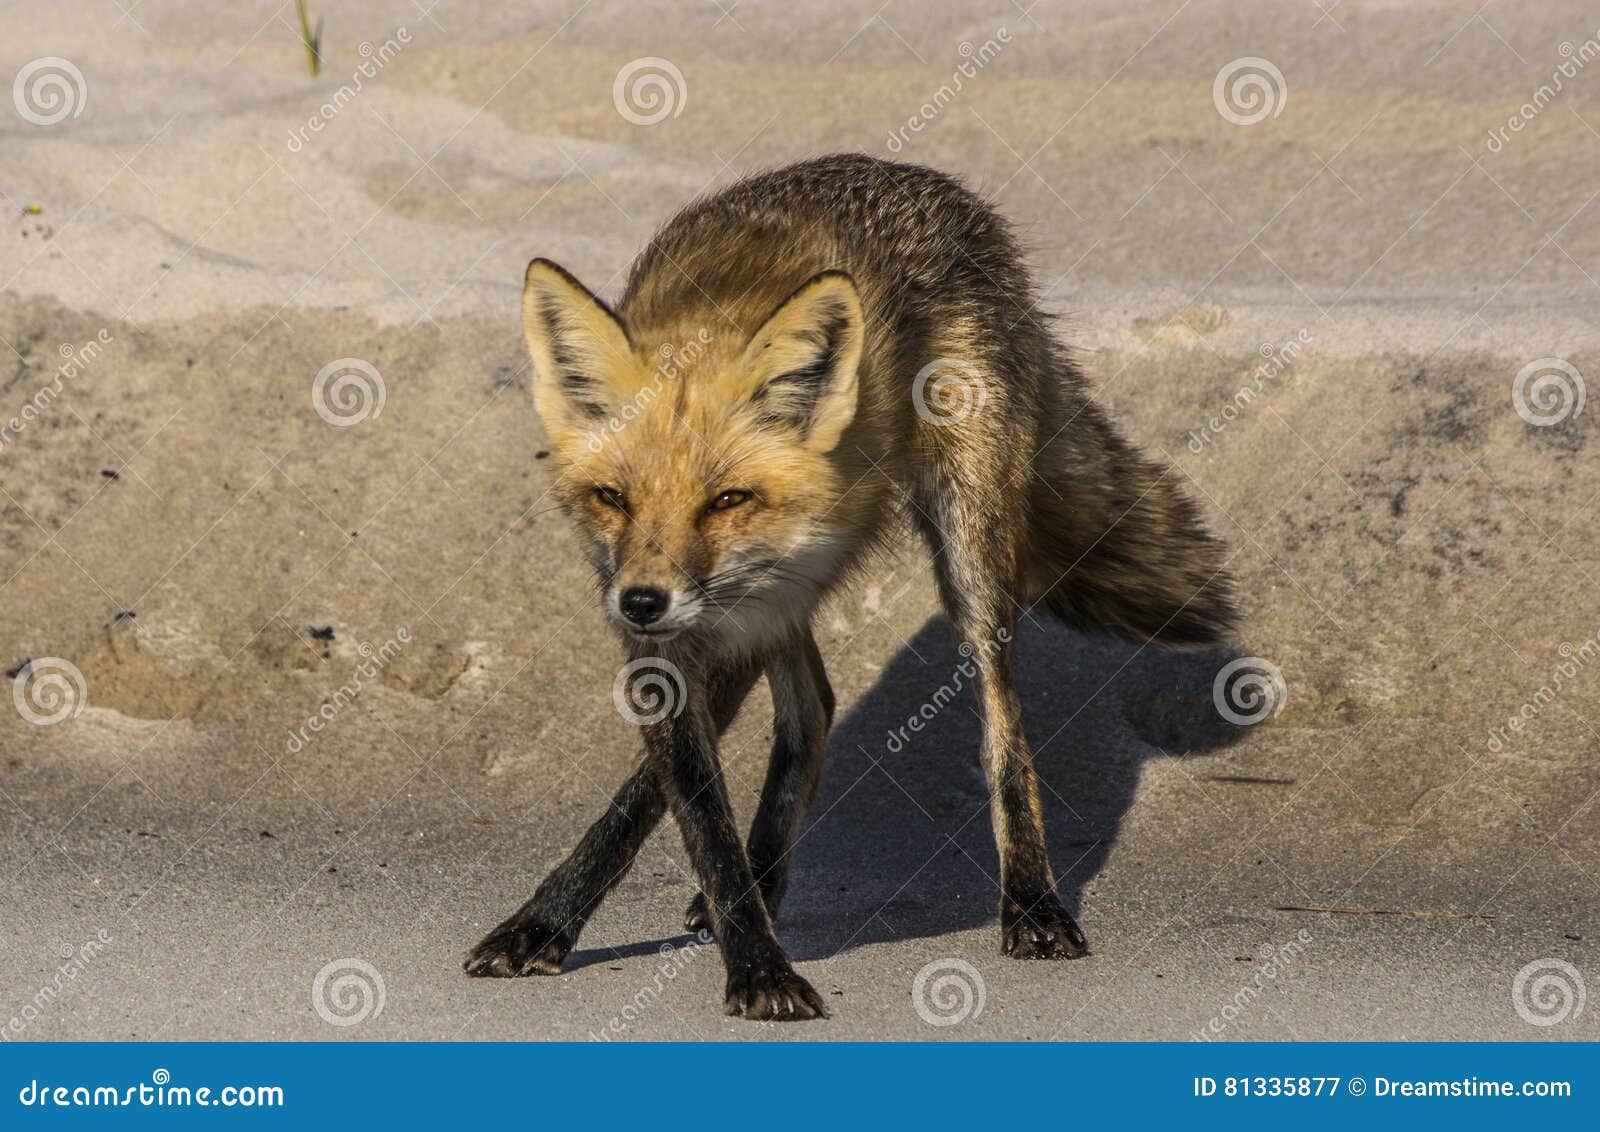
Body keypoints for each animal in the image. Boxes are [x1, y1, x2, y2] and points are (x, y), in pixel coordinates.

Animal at [464, 153, 1236, 1020]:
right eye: (612, 498)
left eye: (726, 499)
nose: (641, 602)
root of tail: (927, 181)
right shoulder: (679, 639)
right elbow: (693, 813)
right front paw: (564, 923)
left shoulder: (731, 611)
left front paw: (757, 967)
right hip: (780, 600)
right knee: (813, 706)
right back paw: (764, 875)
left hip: (967, 545)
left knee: (1002, 729)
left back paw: (1032, 902)